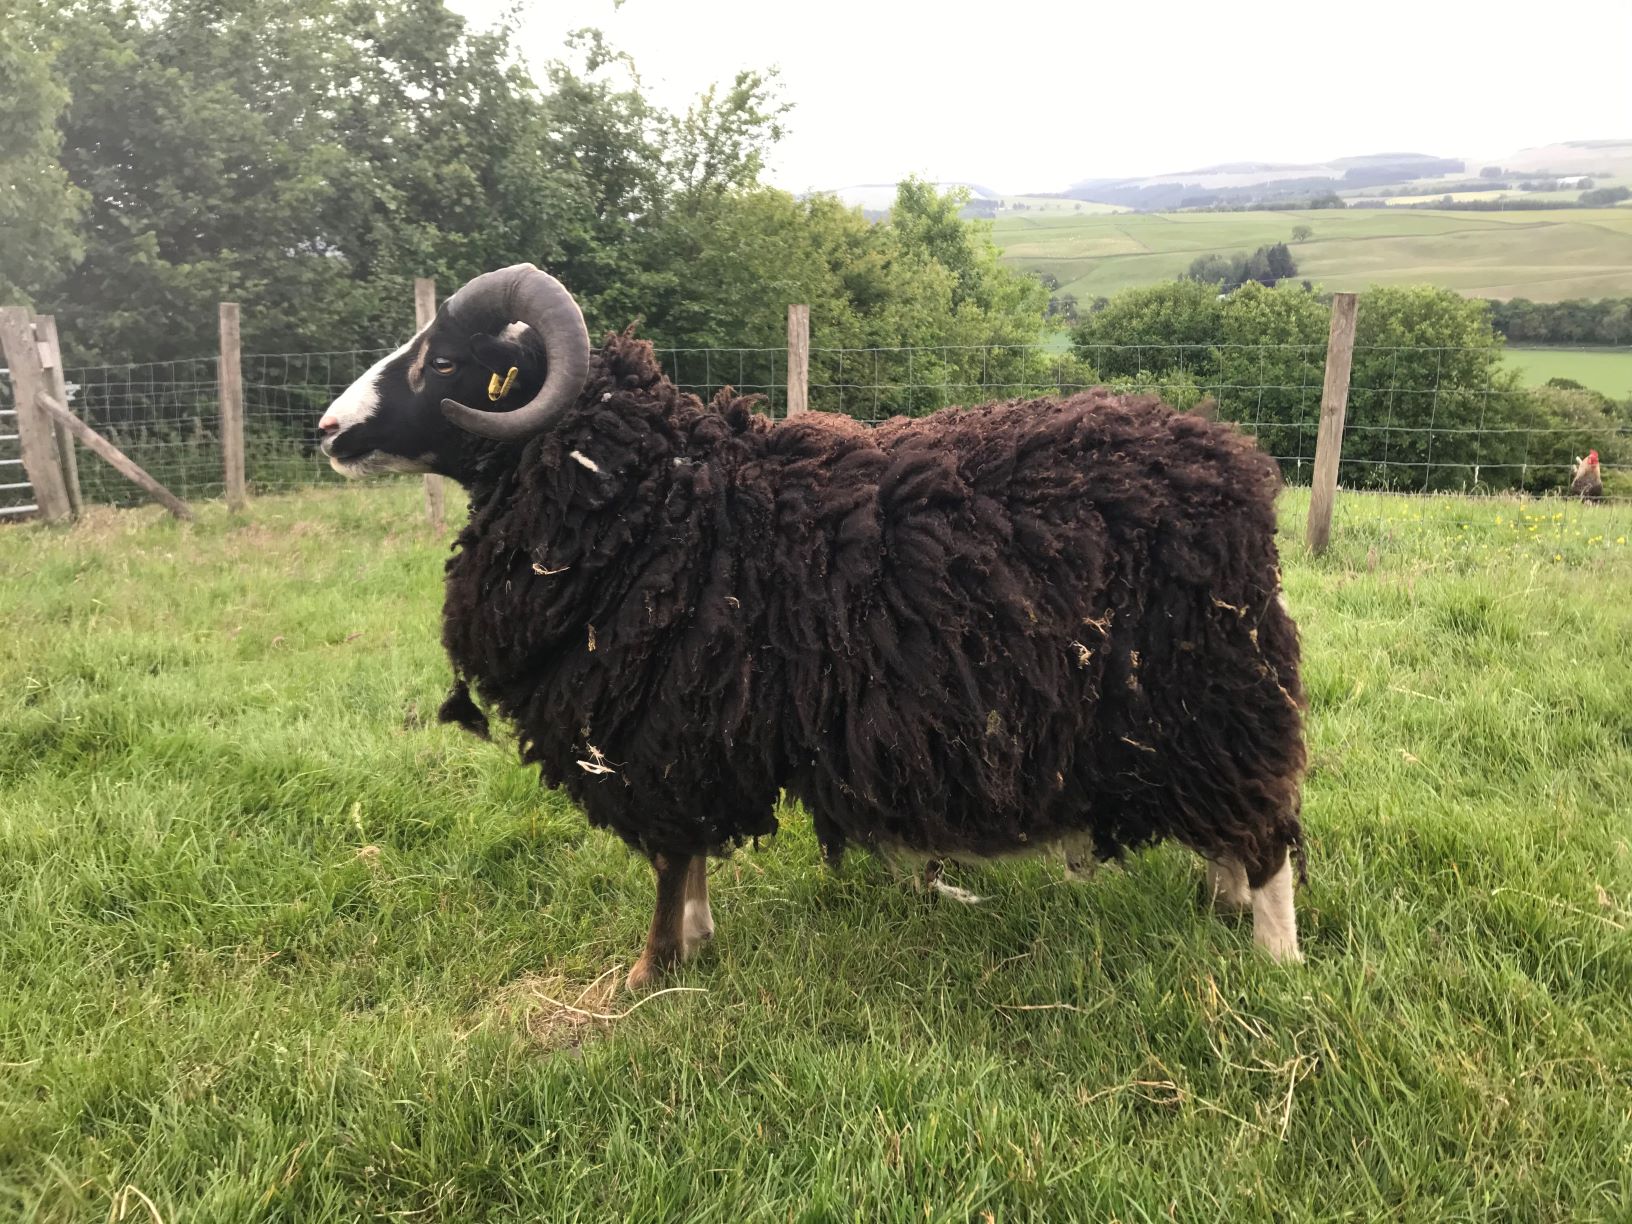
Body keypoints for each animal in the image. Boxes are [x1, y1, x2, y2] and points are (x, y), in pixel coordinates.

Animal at [319, 263, 1309, 989]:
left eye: (446, 365)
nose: (327, 430)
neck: (658, 496)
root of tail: (1234, 463)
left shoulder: (657, 733)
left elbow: (668, 859)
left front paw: (650, 972)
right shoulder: (689, 734)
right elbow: (691, 858)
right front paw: (699, 939)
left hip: (1214, 689)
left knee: (1268, 833)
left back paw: (1275, 963)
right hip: (1187, 711)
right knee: (1236, 826)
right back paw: (1219, 907)